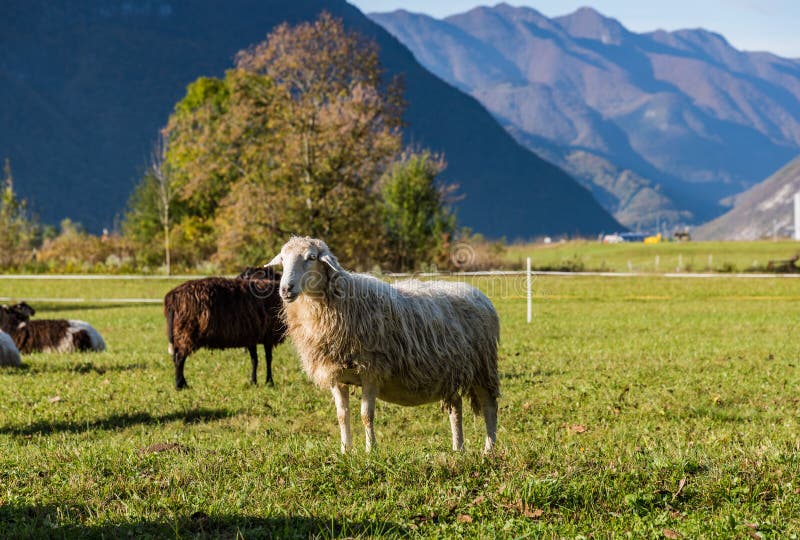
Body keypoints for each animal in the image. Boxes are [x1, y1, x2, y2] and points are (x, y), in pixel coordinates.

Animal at [266, 236, 500, 453]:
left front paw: (371, 451)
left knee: (489, 406)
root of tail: (477, 293)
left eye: (311, 257)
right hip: (450, 372)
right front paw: (345, 451)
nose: (285, 289)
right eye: (282, 260)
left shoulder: (371, 370)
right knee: (456, 408)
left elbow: (366, 415)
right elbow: (342, 415)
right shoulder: (335, 374)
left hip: (483, 367)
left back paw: (489, 450)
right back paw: (458, 448)